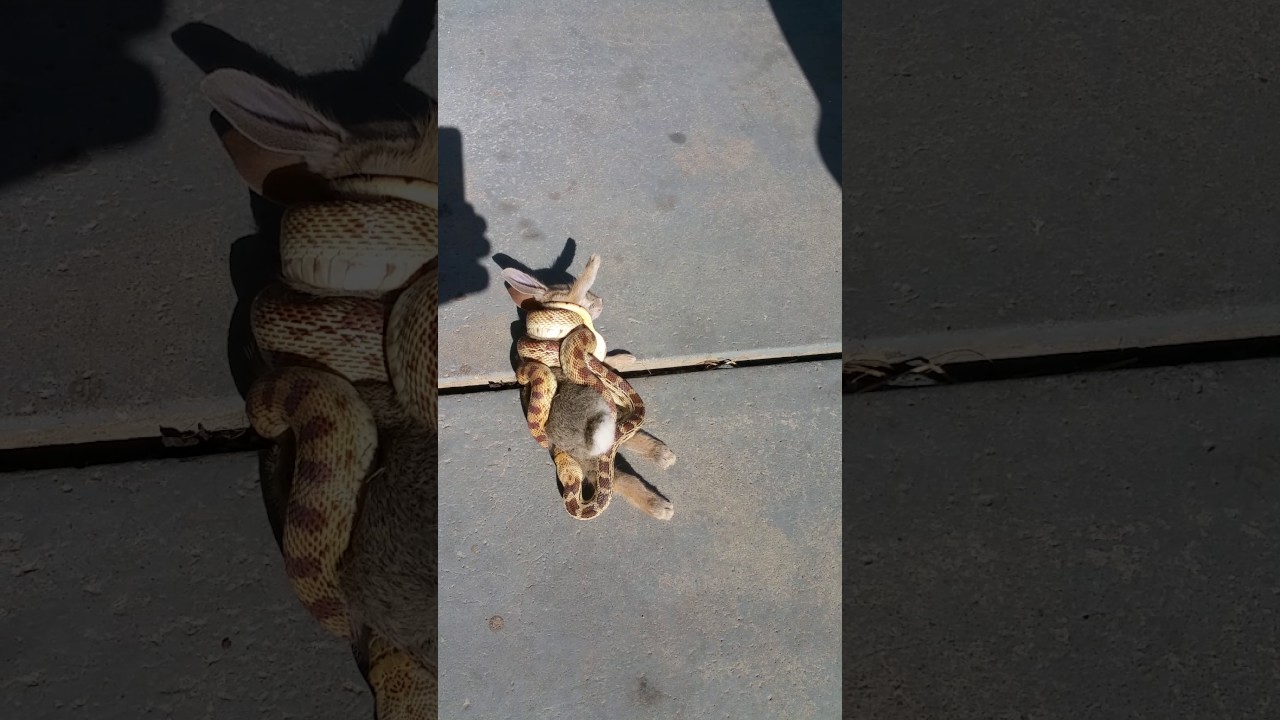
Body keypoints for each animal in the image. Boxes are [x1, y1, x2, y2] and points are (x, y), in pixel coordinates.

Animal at [502, 256, 678, 520]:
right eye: (570, 286)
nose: (600, 300)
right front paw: (592, 266)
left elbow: (604, 361)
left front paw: (623, 358)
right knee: (617, 477)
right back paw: (658, 504)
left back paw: (660, 454)